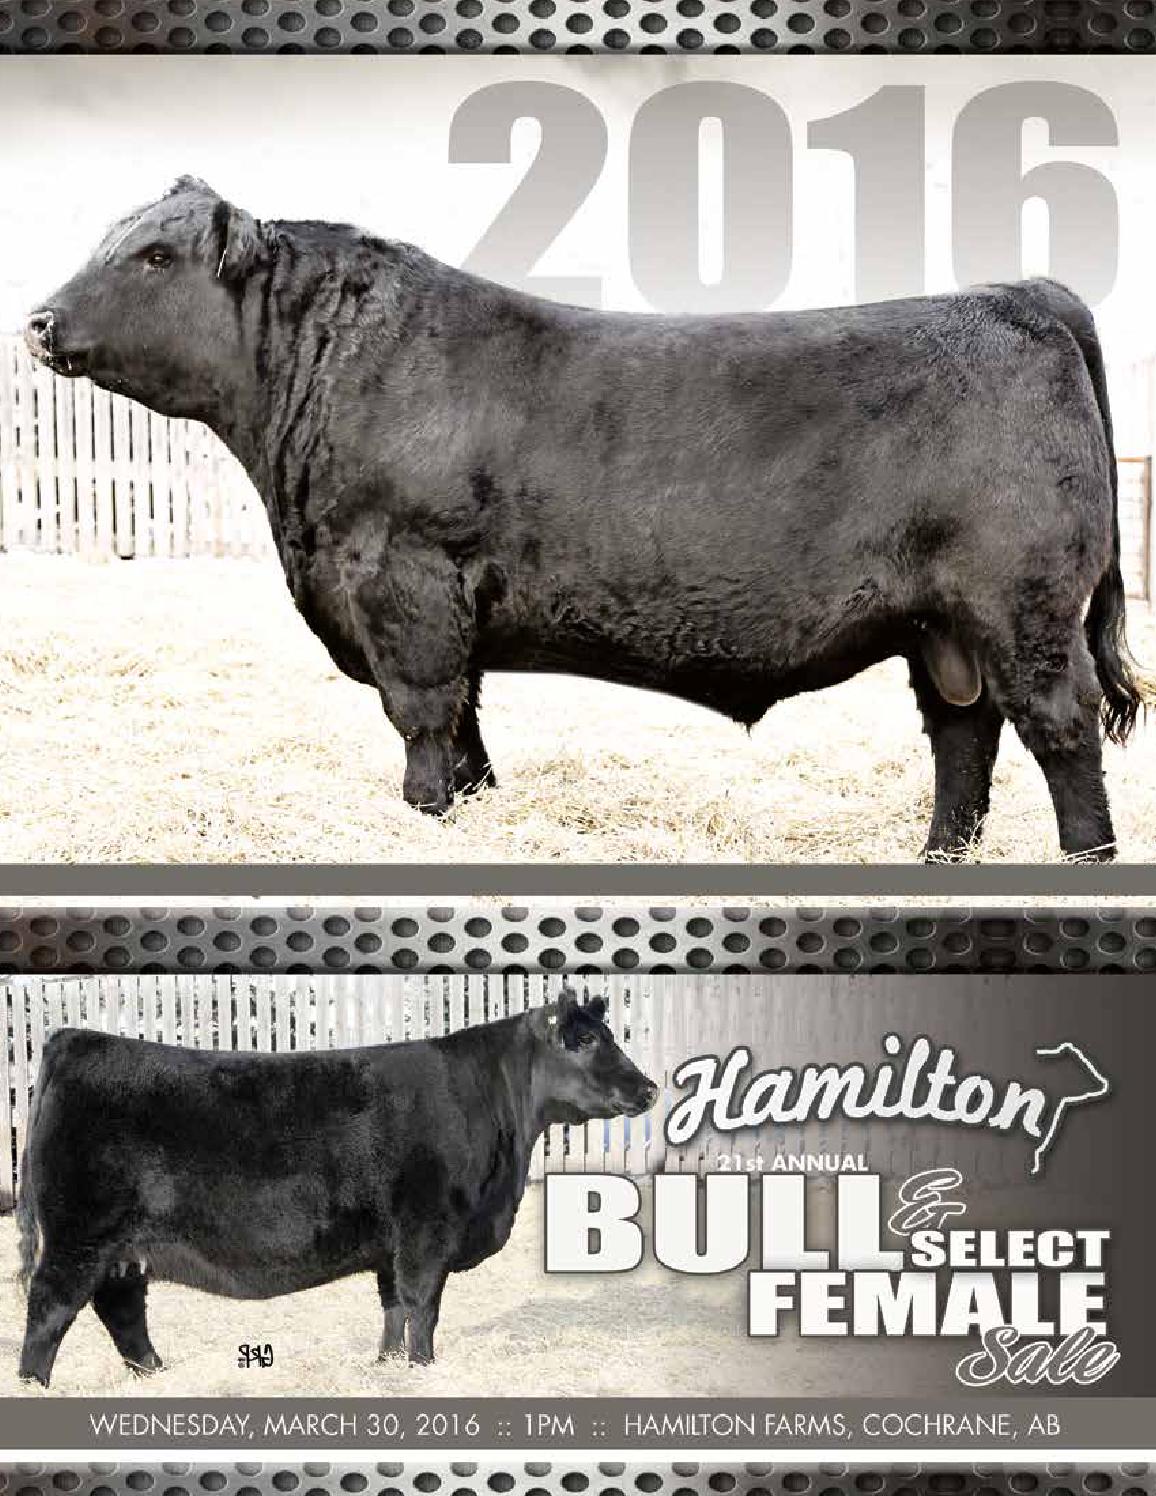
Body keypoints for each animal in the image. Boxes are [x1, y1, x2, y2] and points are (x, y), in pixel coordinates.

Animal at [15, 991, 657, 1387]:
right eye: (585, 1041)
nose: (649, 1089)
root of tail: (74, 1039)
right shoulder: (427, 1231)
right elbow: (423, 1305)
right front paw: (423, 1369)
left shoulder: (393, 1244)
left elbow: (394, 1307)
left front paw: (389, 1365)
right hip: (79, 1235)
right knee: (50, 1306)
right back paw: (33, 1384)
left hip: (123, 1247)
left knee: (121, 1308)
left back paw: (157, 1373)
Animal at [25, 178, 1152, 859]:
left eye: (155, 257)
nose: (36, 319)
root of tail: (1019, 294)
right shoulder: (443, 611)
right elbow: (468, 726)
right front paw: (471, 814)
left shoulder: (404, 584)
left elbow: (422, 719)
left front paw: (423, 817)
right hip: (942, 626)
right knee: (963, 732)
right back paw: (935, 857)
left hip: (1022, 609)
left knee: (1057, 727)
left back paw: (1085, 859)